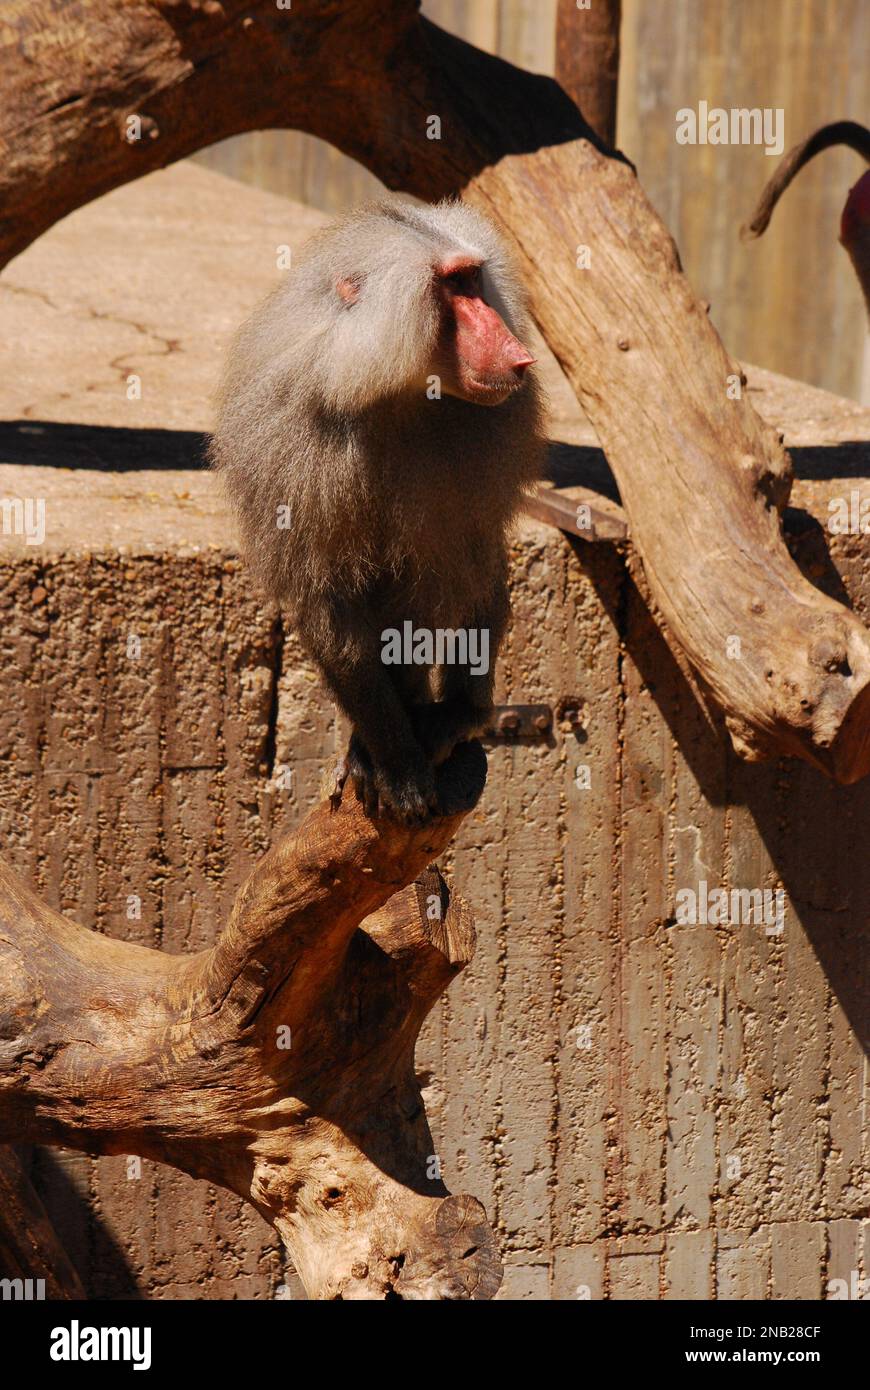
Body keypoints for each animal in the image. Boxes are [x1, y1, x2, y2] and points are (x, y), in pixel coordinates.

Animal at [210, 198, 544, 824]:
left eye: (475, 280)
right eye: (453, 286)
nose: (519, 355)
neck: (394, 390)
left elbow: (465, 567)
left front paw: (441, 724)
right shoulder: (296, 441)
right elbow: (329, 601)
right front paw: (395, 764)